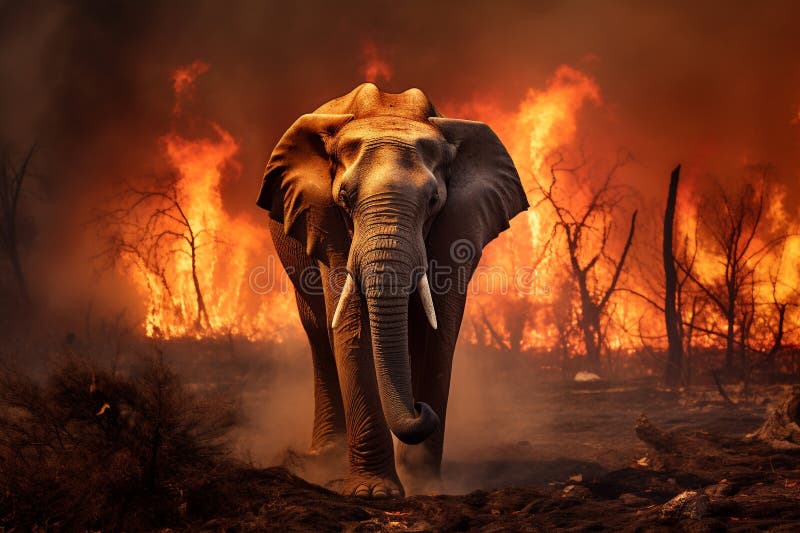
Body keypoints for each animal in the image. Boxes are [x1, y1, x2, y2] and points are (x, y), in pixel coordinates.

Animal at [257, 83, 528, 497]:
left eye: (434, 201)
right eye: (344, 199)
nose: (419, 408)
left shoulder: (456, 228)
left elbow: (438, 333)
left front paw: (427, 487)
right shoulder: (328, 225)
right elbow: (351, 329)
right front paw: (375, 493)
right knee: (319, 334)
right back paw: (325, 457)